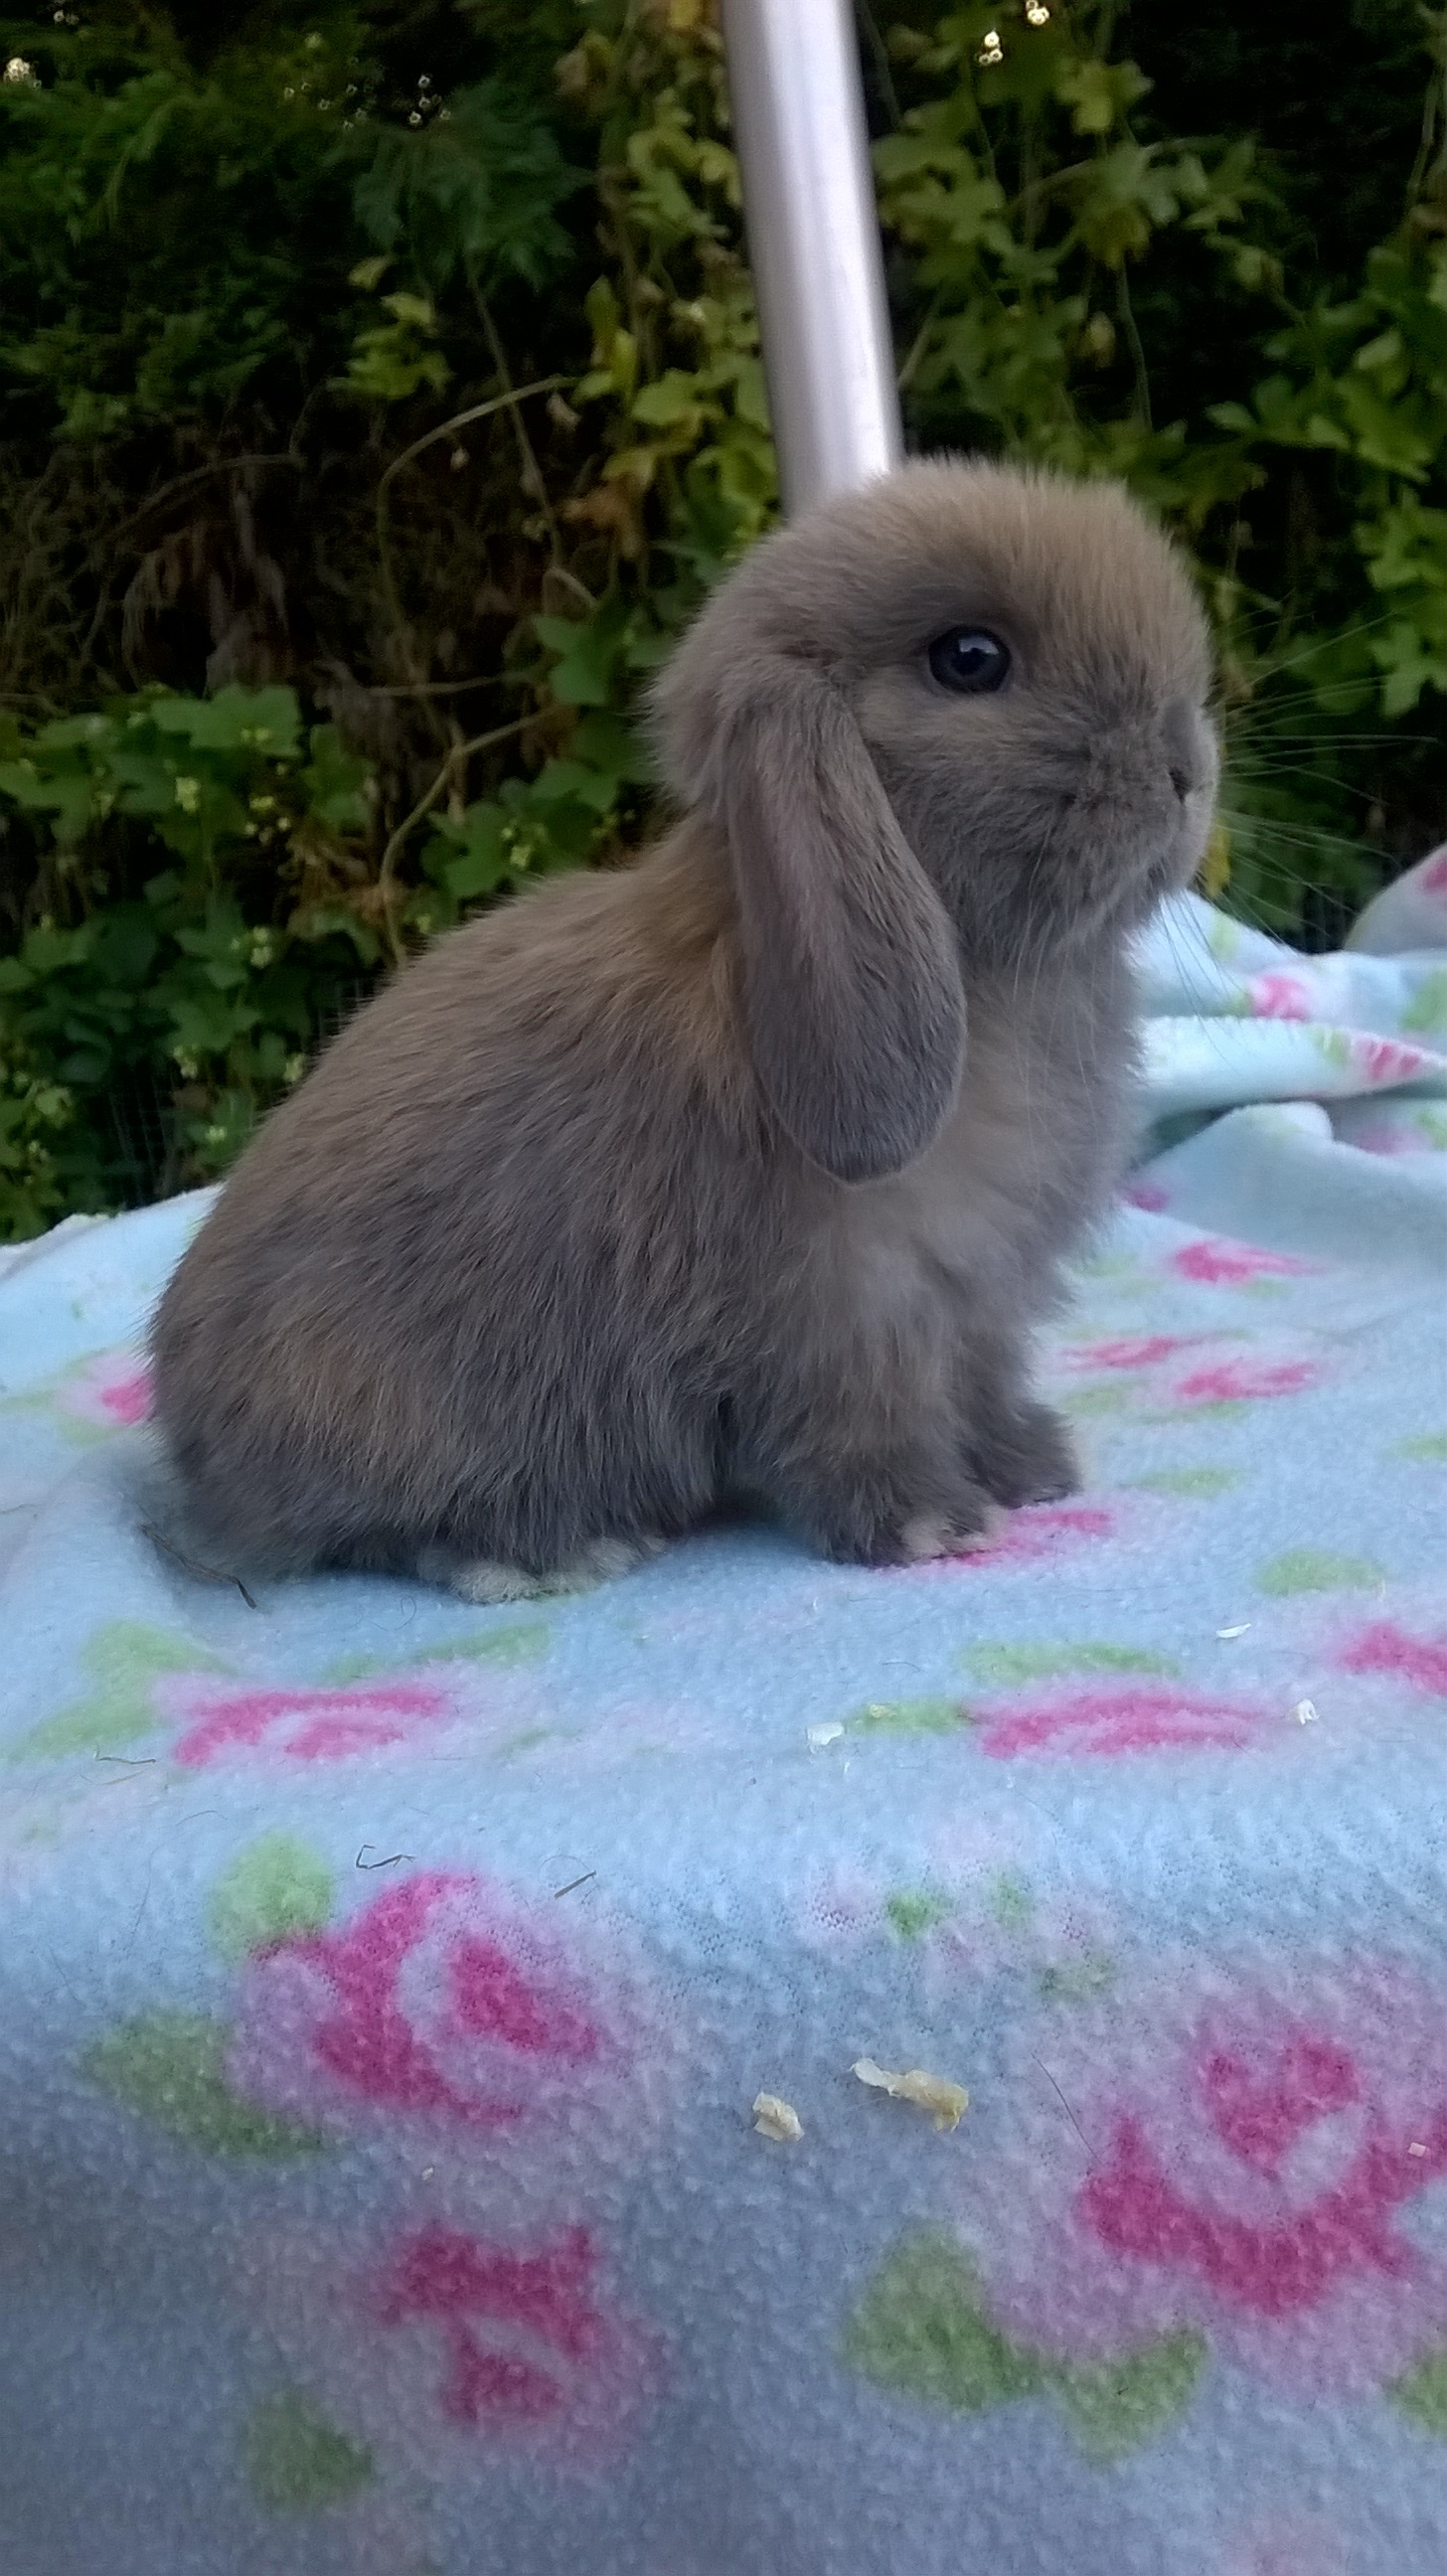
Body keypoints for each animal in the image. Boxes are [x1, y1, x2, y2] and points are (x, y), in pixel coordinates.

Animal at [150, 457, 1217, 1600]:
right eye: (970, 660)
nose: (1186, 768)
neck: (991, 975)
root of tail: (191, 1445)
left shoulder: (976, 1311)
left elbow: (978, 1385)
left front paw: (1033, 1466)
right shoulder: (844, 1318)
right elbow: (855, 1432)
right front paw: (929, 1521)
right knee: (381, 1531)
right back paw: (549, 1547)